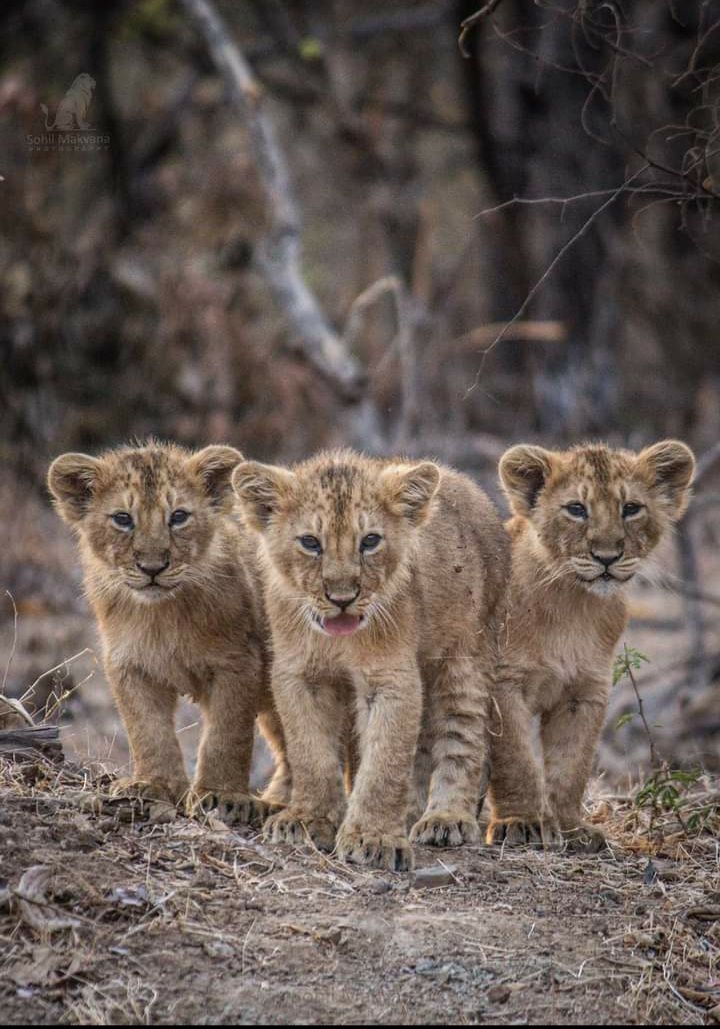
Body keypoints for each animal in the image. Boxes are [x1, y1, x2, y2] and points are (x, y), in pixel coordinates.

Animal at [48, 441, 289, 820]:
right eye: (122, 519)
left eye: (178, 517)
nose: (152, 568)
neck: (162, 615)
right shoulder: (130, 665)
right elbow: (148, 731)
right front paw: (154, 785)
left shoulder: (238, 662)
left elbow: (227, 734)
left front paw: (221, 795)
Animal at [232, 449, 510, 871]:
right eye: (310, 542)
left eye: (370, 541)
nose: (342, 597)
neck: (338, 643)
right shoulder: (300, 675)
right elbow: (311, 754)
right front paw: (308, 820)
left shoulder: (391, 677)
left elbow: (384, 763)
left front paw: (373, 838)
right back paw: (410, 812)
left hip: (467, 654)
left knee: (462, 734)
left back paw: (446, 818)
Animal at [486, 440, 695, 849]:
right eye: (576, 509)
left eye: (631, 508)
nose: (607, 557)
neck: (571, 602)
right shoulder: (501, 682)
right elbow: (515, 759)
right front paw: (521, 823)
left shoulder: (583, 690)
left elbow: (572, 765)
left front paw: (571, 829)